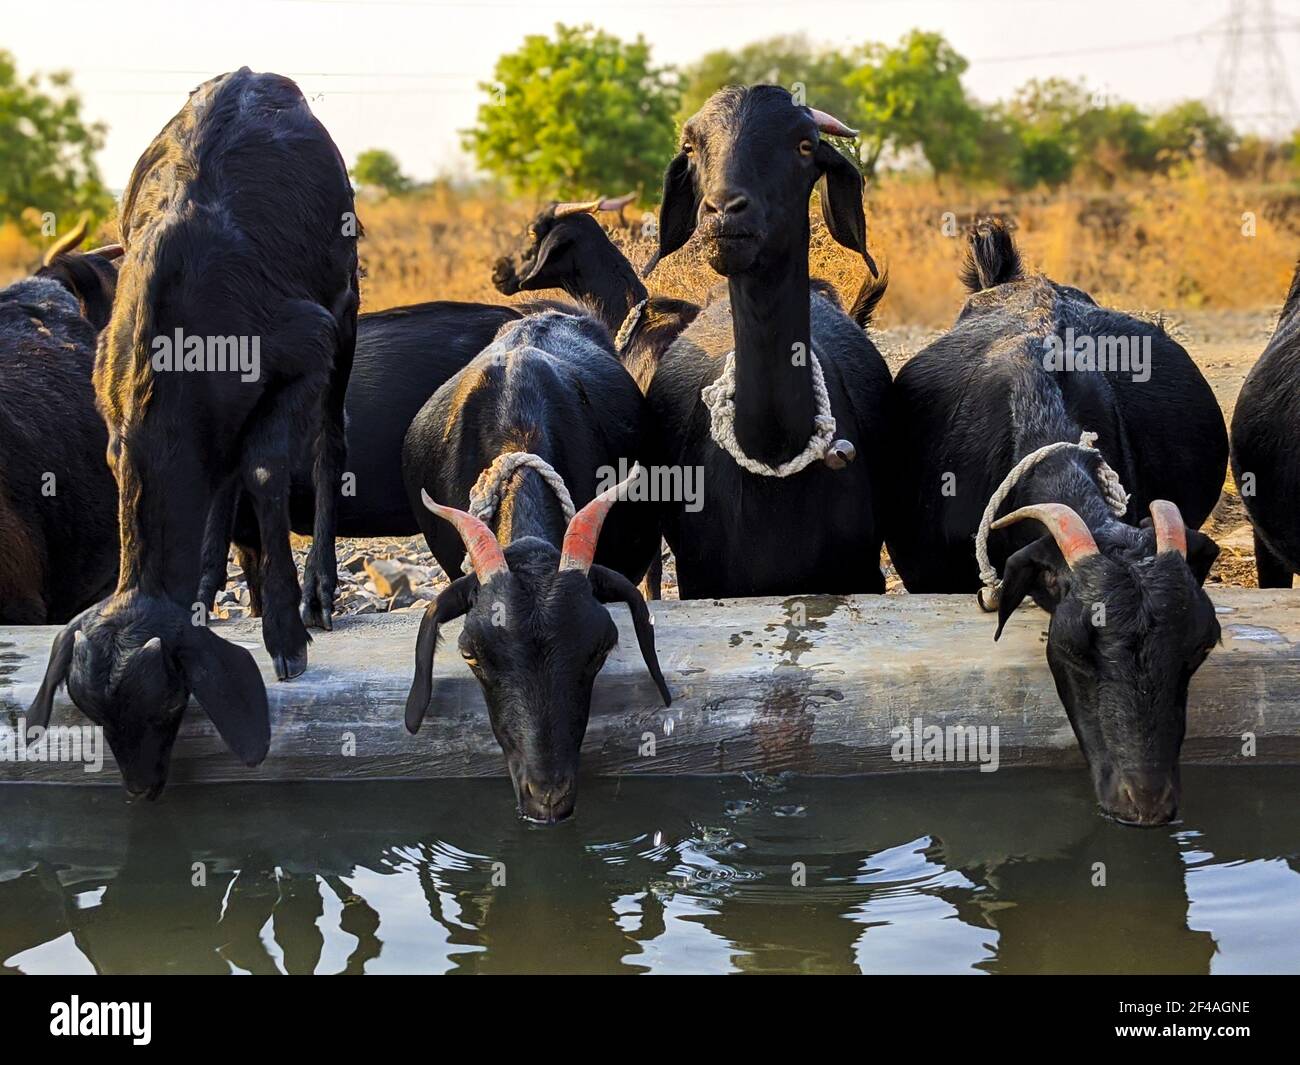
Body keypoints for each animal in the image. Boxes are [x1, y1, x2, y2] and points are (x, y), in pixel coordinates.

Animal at [28, 68, 359, 798]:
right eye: (94, 715)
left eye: (167, 704)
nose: (141, 789)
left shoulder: (307, 342)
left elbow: (267, 469)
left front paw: (286, 631)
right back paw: (208, 584)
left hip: (347, 303)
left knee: (328, 442)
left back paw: (320, 589)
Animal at [643, 86, 892, 598]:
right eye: (691, 147)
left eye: (804, 145)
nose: (723, 212)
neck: (772, 448)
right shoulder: (703, 582)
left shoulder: (863, 574)